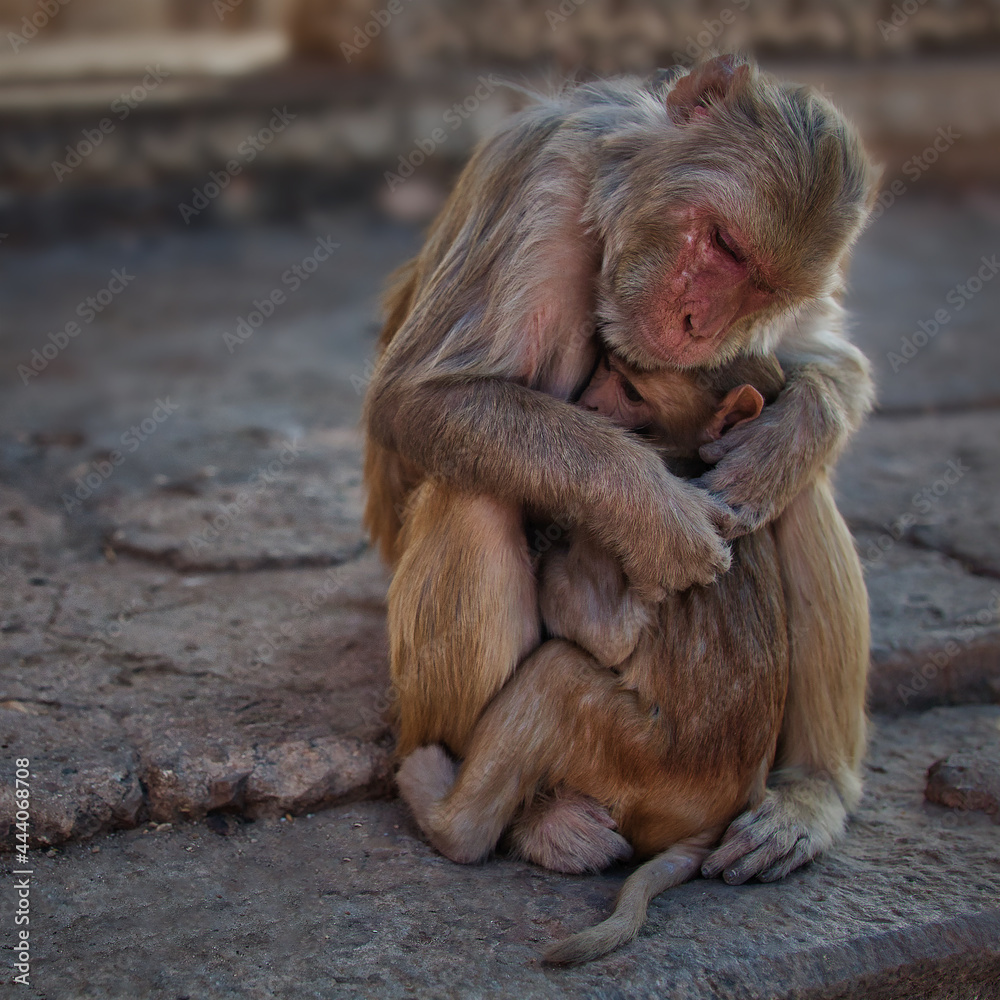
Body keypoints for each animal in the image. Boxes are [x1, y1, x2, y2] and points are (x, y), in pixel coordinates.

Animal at [364, 53, 878, 883]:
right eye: (724, 244)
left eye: (762, 285)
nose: (699, 323)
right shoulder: (541, 181)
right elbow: (420, 400)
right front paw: (657, 517)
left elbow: (827, 360)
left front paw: (778, 448)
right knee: (470, 493)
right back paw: (516, 817)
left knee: (800, 495)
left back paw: (810, 794)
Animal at [396, 351, 796, 964]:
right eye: (606, 363)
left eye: (631, 390)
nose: (587, 402)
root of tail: (727, 806)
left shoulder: (623, 526)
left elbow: (604, 632)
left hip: (647, 763)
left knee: (557, 674)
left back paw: (443, 815)